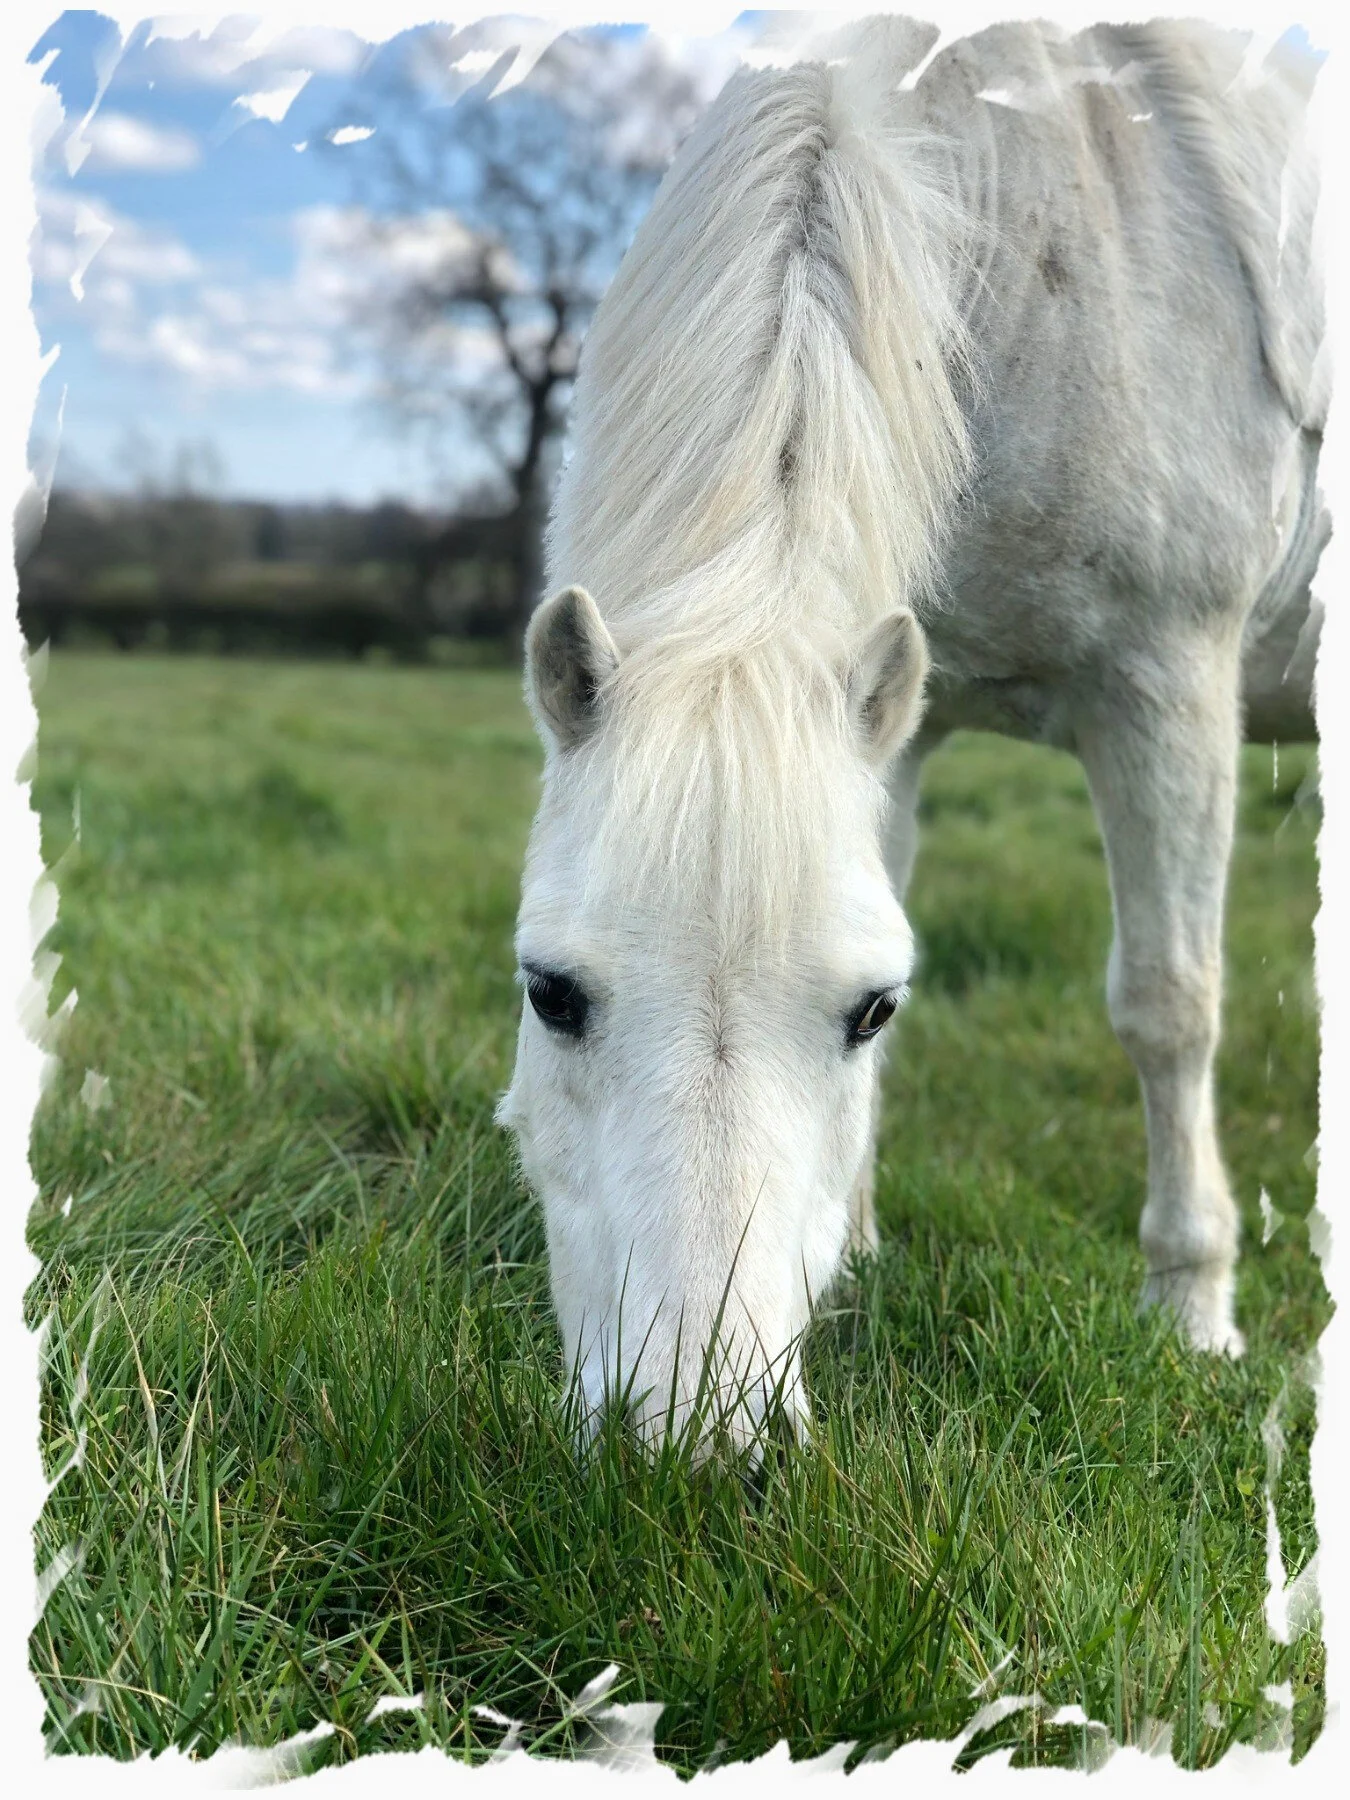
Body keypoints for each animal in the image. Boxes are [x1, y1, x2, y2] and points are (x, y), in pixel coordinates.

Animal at [495, 14, 1328, 1452]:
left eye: (865, 1010)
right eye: (552, 994)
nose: (696, 1441)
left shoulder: (1165, 680)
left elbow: (1169, 1005)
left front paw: (1194, 1315)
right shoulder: (893, 716)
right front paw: (864, 1246)